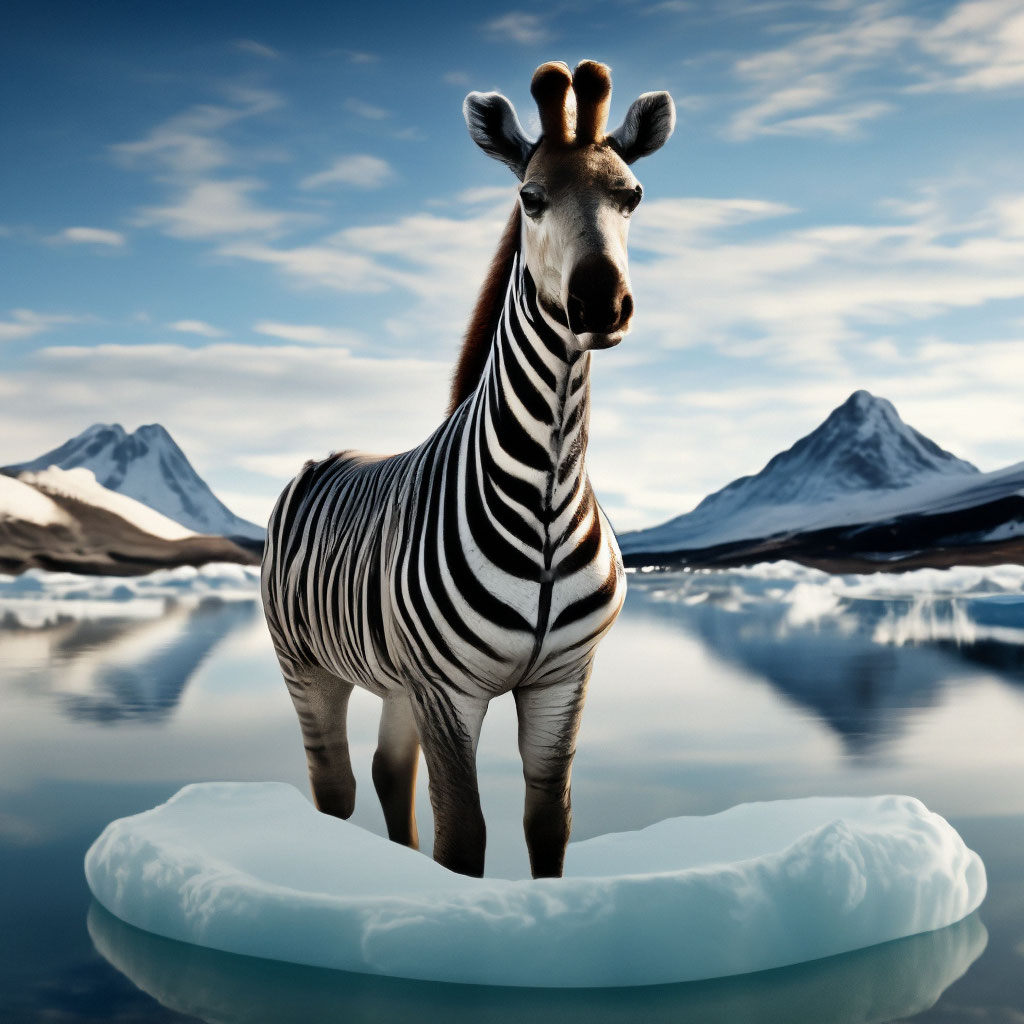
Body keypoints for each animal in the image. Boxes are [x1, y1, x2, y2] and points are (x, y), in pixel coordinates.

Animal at [262, 60, 674, 878]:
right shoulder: (450, 693)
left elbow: (548, 824)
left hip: (397, 679)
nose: (599, 303)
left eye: (633, 196)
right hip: (308, 664)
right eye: (530, 199)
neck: (545, 489)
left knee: (390, 774)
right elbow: (463, 840)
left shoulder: (560, 682)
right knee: (335, 789)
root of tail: (327, 456)